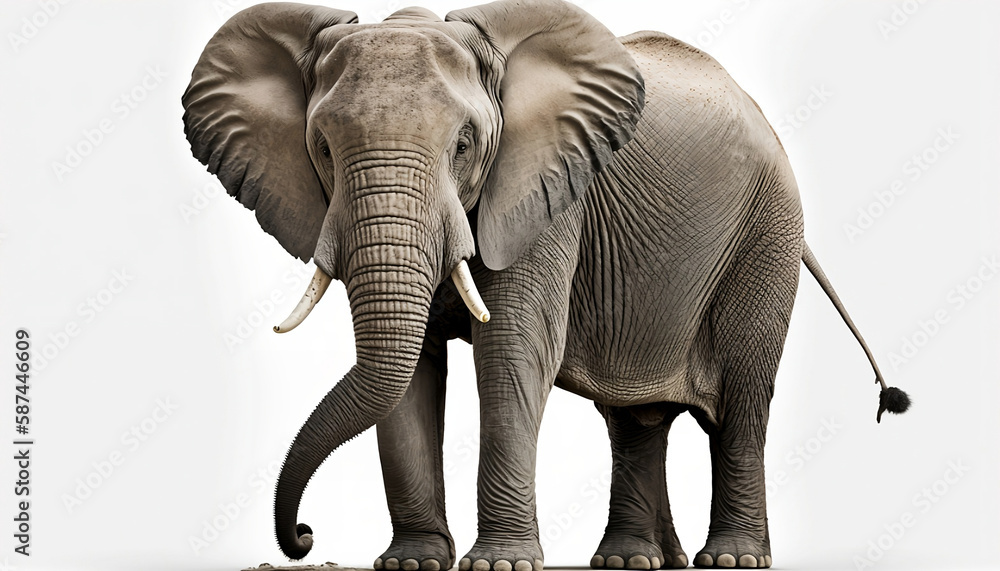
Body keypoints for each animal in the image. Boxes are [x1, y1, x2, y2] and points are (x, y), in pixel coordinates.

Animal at [182, 1, 910, 569]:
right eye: (323, 149)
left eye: (465, 145)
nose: (303, 537)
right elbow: (413, 368)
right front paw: (415, 562)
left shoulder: (549, 195)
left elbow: (512, 346)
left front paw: (499, 564)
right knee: (636, 415)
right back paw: (632, 560)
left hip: (766, 234)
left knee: (741, 400)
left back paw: (729, 558)